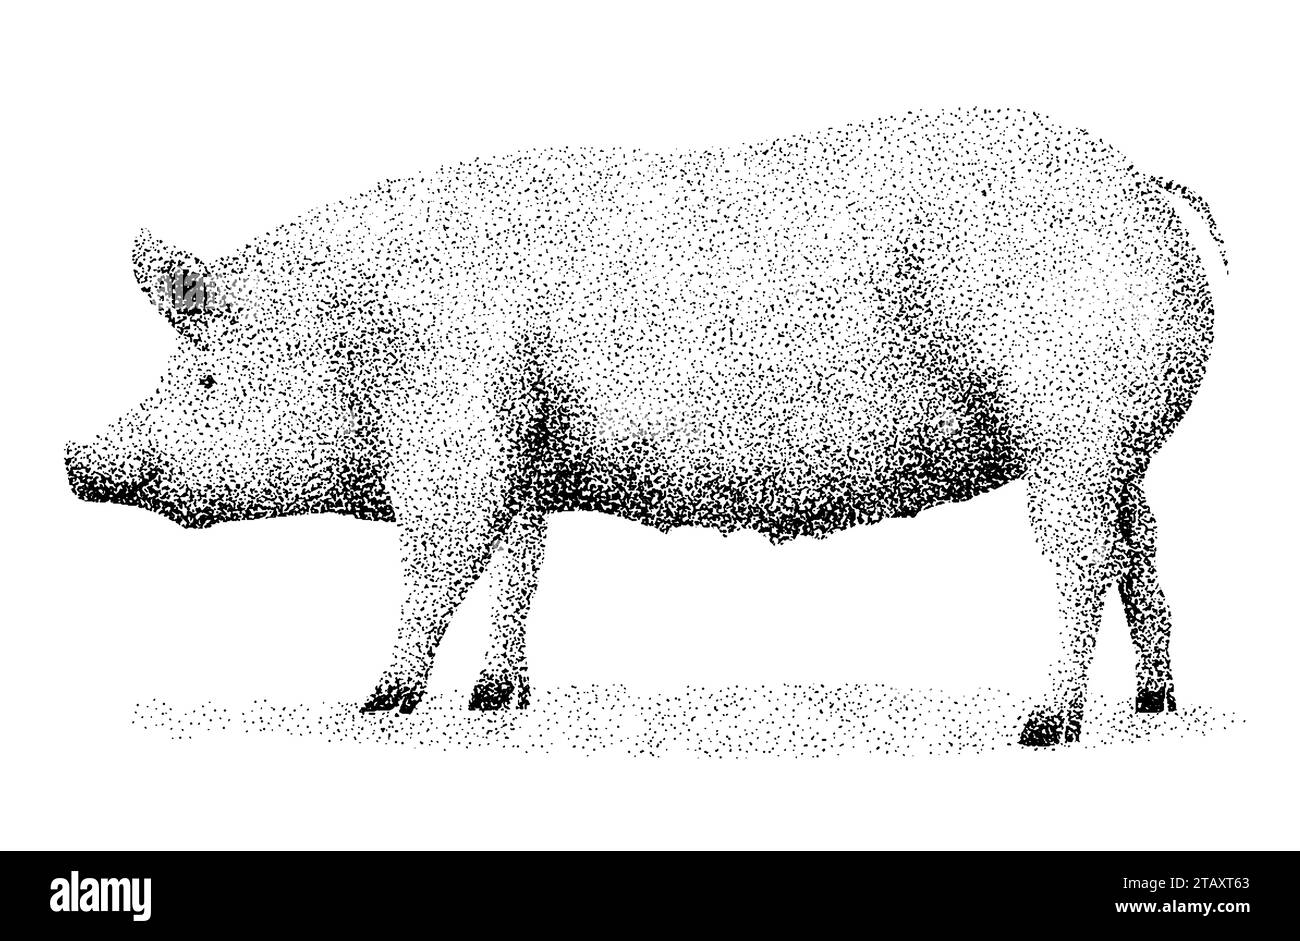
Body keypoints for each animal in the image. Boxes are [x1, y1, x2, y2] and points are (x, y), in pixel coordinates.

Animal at [65, 109, 1226, 745]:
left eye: (205, 373)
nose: (73, 457)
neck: (371, 341)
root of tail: (1142, 185)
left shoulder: (460, 444)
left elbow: (435, 571)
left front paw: (376, 703)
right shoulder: (525, 458)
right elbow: (520, 569)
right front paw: (494, 700)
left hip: (1069, 437)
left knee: (1082, 565)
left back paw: (1039, 729)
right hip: (1119, 450)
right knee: (1142, 554)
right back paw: (1155, 702)